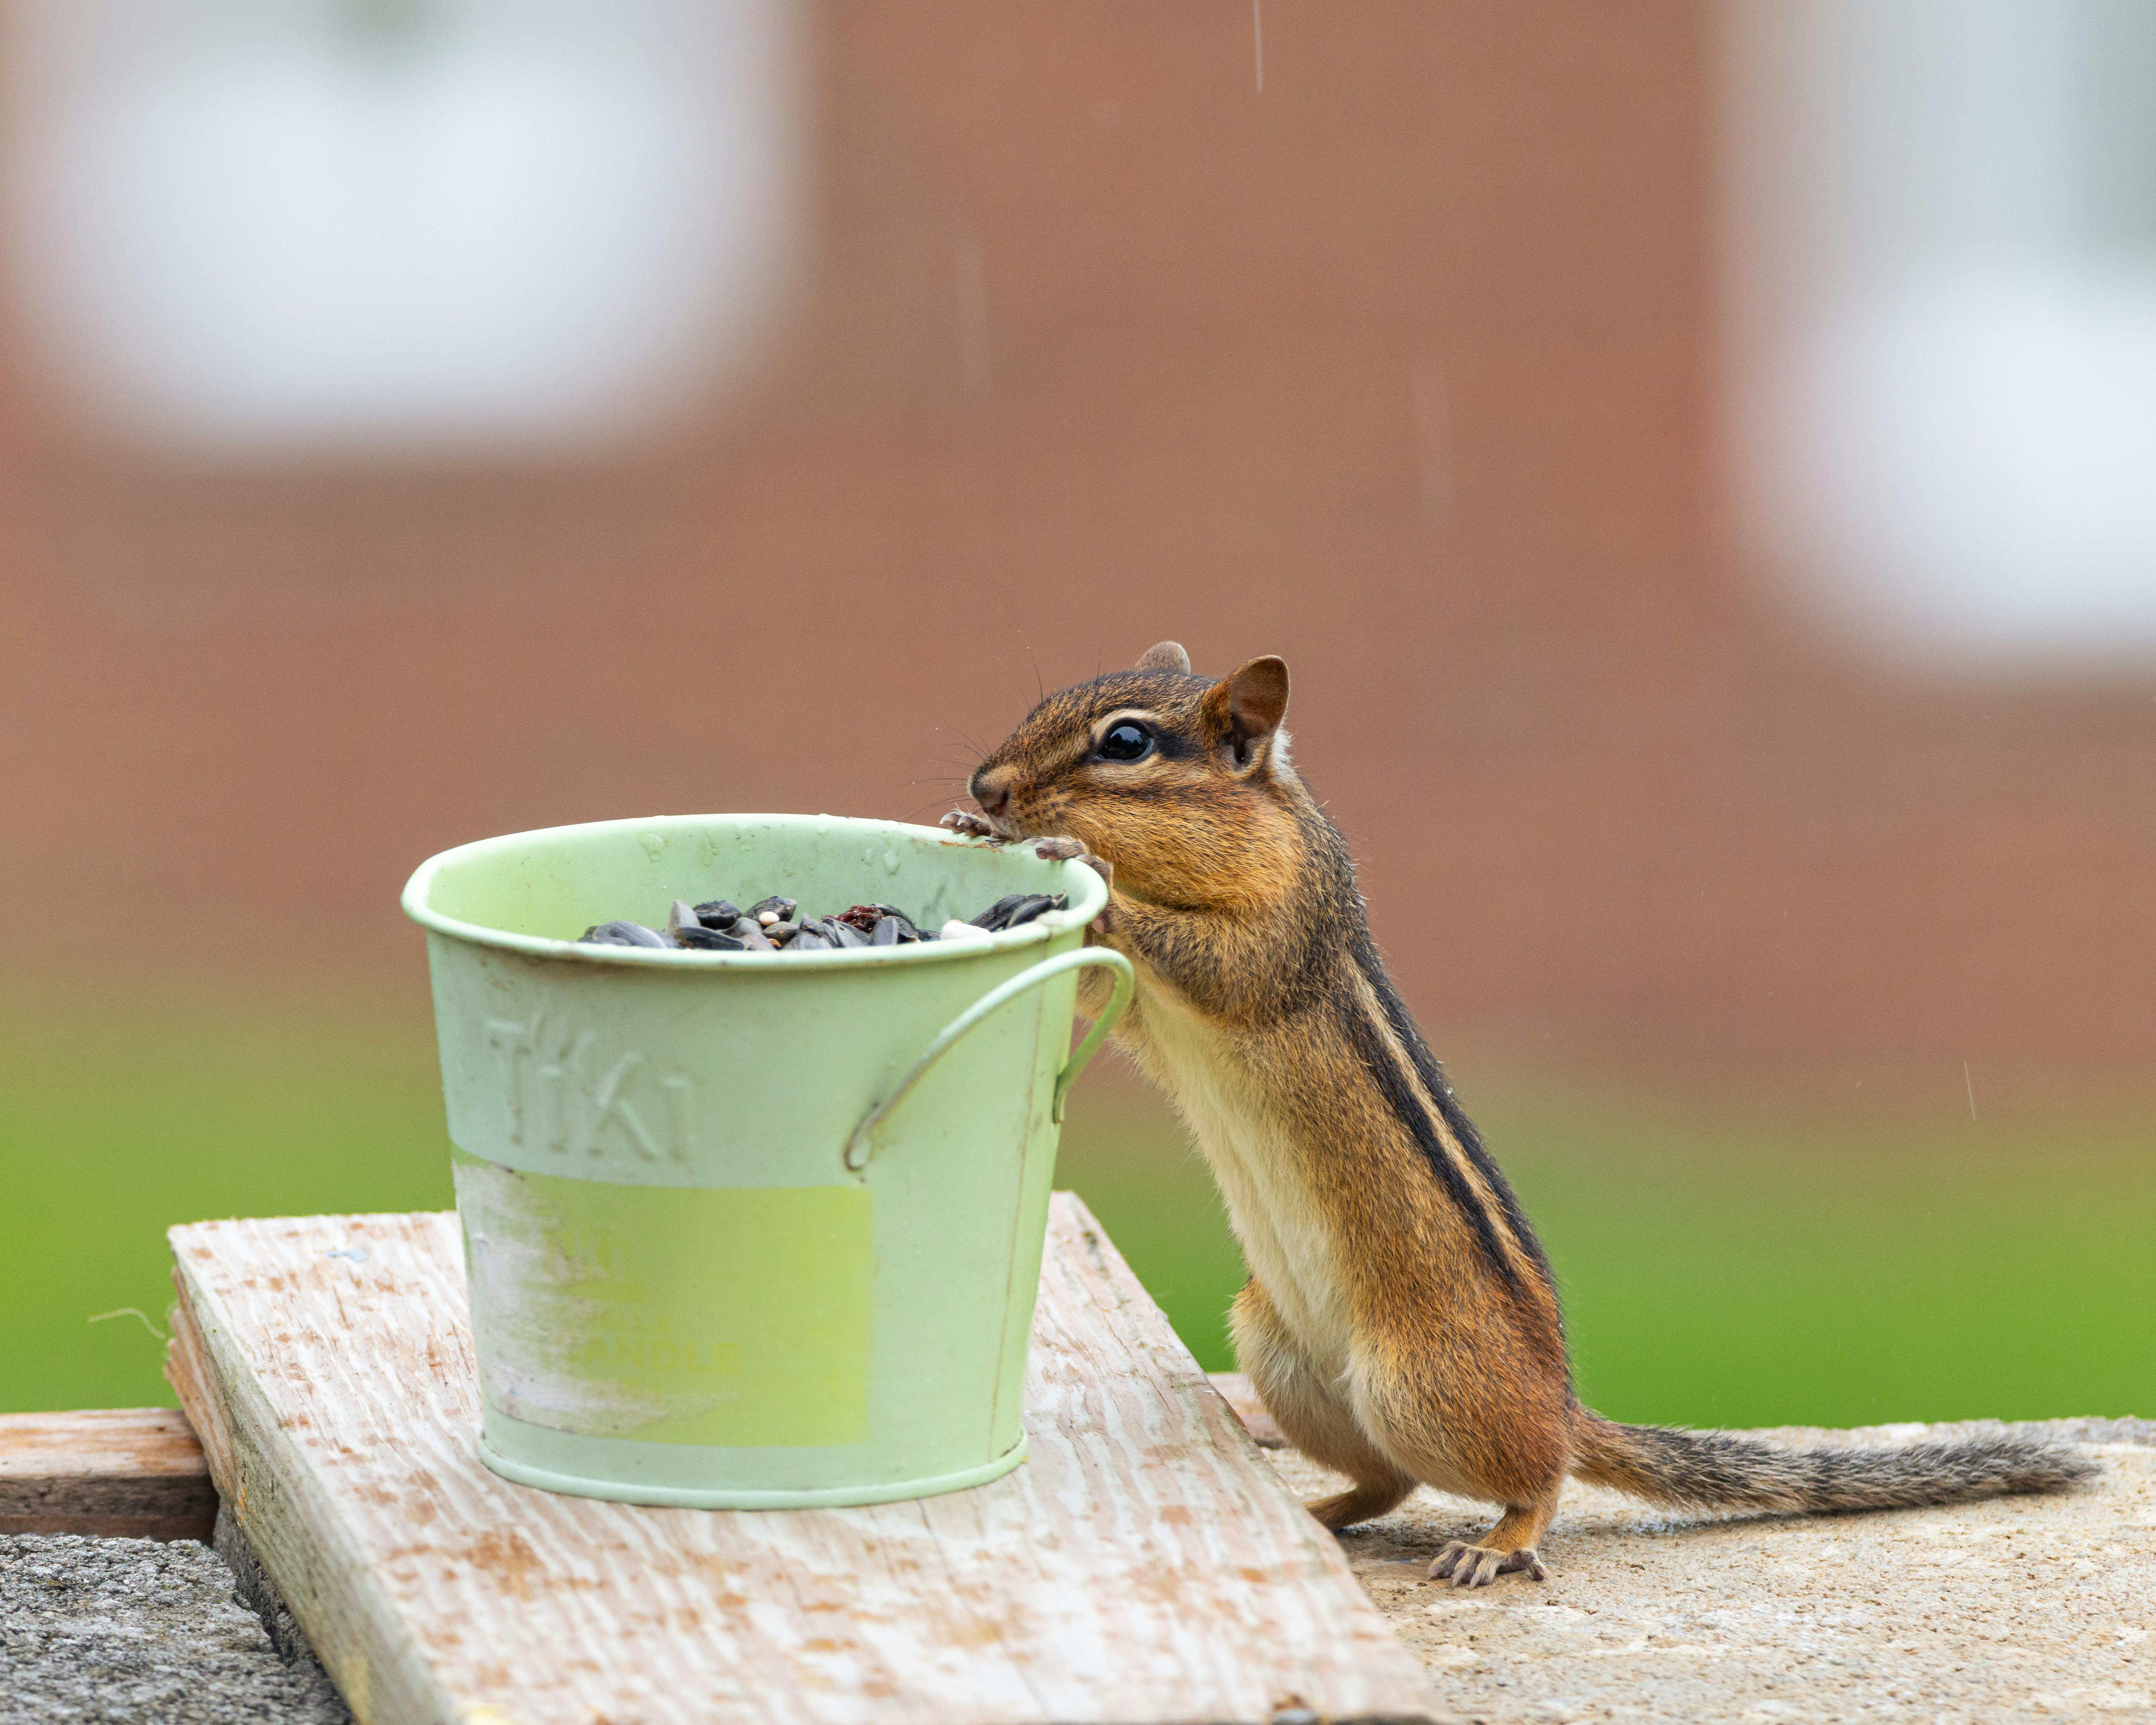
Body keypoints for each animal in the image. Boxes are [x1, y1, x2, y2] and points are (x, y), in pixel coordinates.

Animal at [942, 640, 2097, 1588]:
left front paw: (1078, 864)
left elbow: (1207, 956)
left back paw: (1496, 1540)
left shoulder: (1276, 938)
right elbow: (1121, 1005)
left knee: (1533, 1478)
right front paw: (970, 832)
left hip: (1423, 1386)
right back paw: (1318, 1512)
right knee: (1387, 1484)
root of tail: (1562, 1399)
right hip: (1280, 1352)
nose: (983, 783)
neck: (1263, 827)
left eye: (1126, 743)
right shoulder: (1149, 1018)